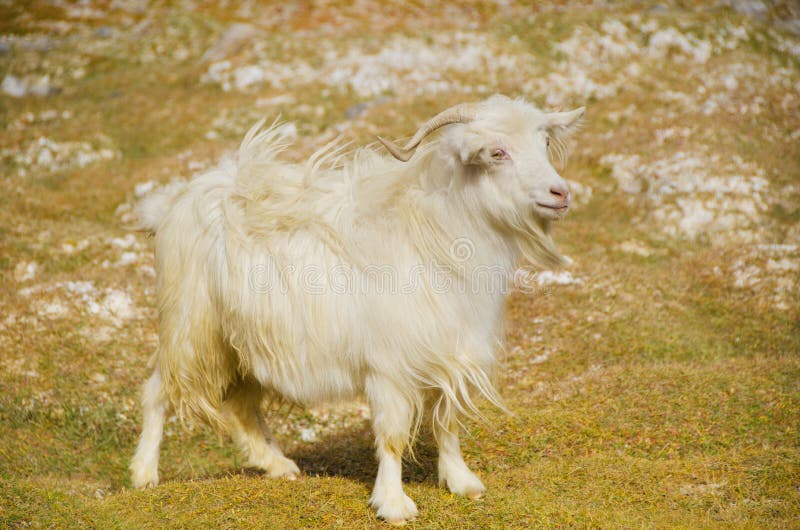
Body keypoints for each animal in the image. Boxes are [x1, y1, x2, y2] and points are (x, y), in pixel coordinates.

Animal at [130, 95, 584, 524]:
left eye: (544, 143)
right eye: (496, 152)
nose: (560, 193)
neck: (433, 235)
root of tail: (171, 205)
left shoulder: (450, 352)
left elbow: (448, 423)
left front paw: (462, 482)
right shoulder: (388, 368)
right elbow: (393, 436)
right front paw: (394, 504)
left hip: (243, 342)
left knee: (242, 405)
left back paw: (279, 466)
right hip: (190, 325)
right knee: (158, 391)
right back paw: (144, 475)